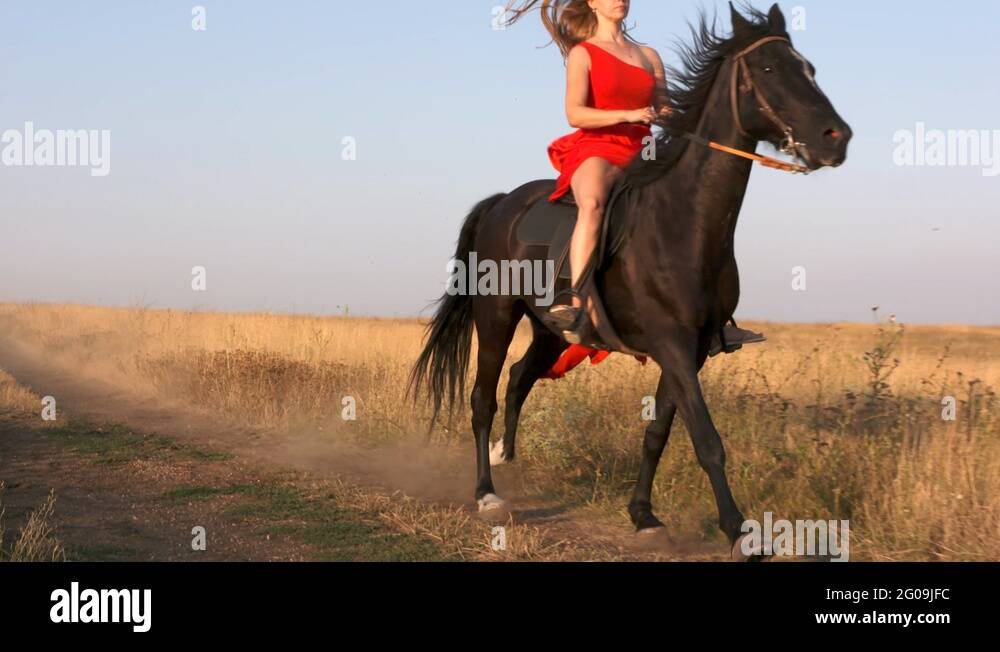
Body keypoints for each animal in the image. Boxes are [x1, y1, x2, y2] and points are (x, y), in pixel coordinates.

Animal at [410, 3, 851, 559]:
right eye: (770, 69)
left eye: (809, 68)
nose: (836, 138)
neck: (684, 221)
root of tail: (501, 203)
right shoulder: (672, 343)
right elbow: (707, 440)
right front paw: (739, 531)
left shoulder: (692, 349)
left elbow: (658, 432)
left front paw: (643, 515)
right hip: (496, 317)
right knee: (482, 397)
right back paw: (487, 494)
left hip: (554, 332)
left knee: (519, 379)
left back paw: (504, 454)